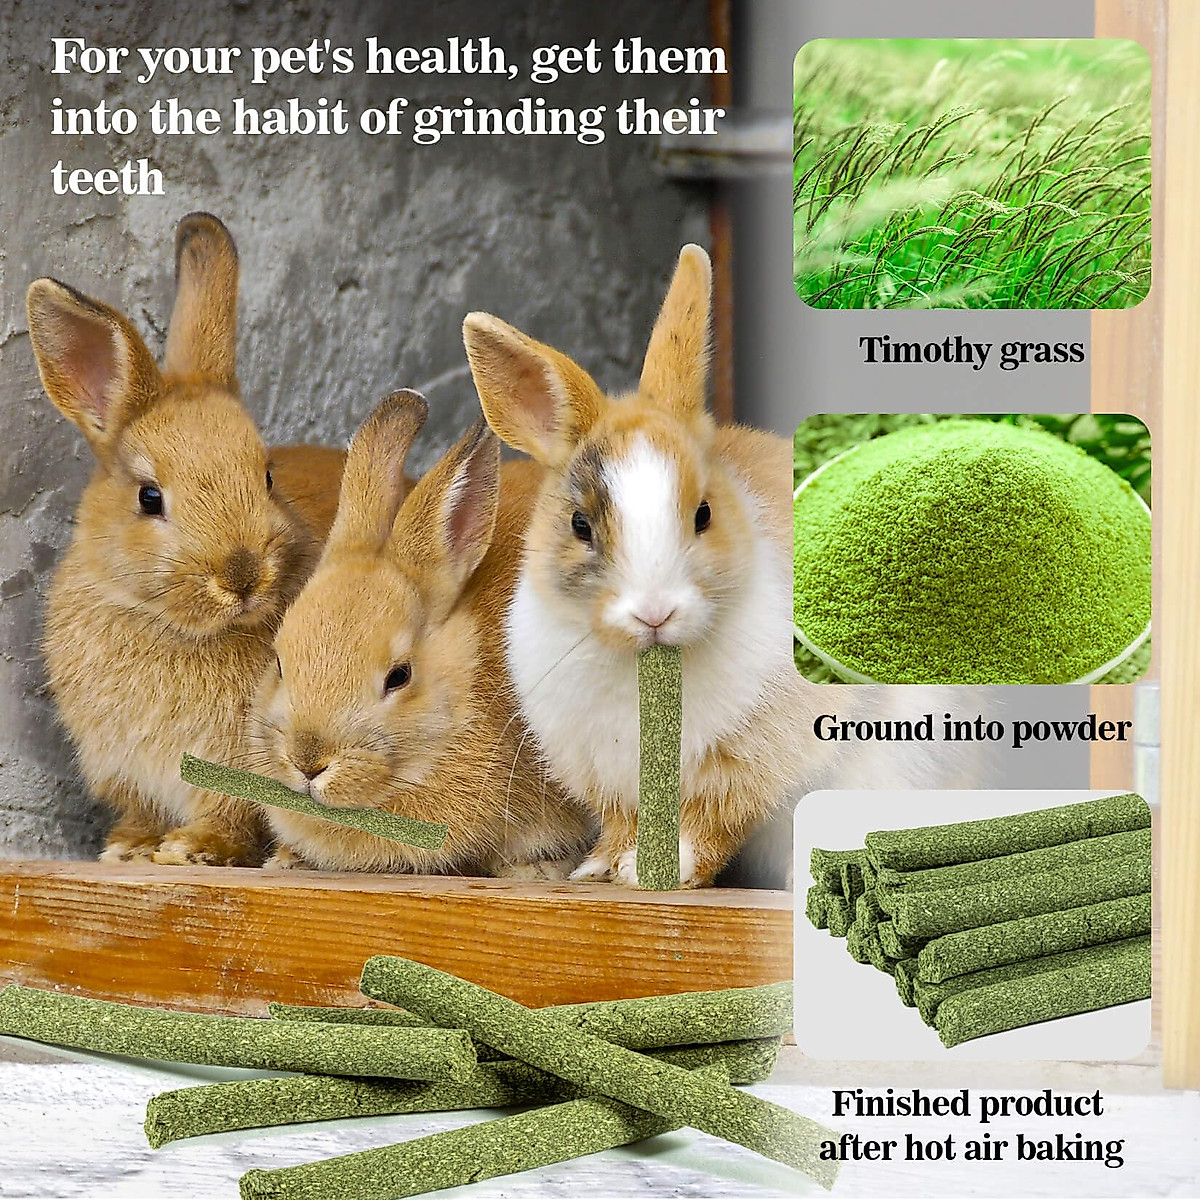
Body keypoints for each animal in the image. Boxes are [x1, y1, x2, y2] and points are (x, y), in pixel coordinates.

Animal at [28, 212, 346, 866]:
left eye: (267, 476)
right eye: (150, 498)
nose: (242, 576)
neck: (172, 626)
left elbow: (231, 814)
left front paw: (193, 850)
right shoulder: (125, 766)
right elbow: (143, 810)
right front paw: (129, 847)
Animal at [462, 244, 981, 889]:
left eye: (703, 513)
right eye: (580, 524)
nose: (654, 613)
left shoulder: (747, 761)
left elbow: (709, 822)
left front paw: (664, 872)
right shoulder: (608, 775)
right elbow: (624, 822)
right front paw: (601, 869)